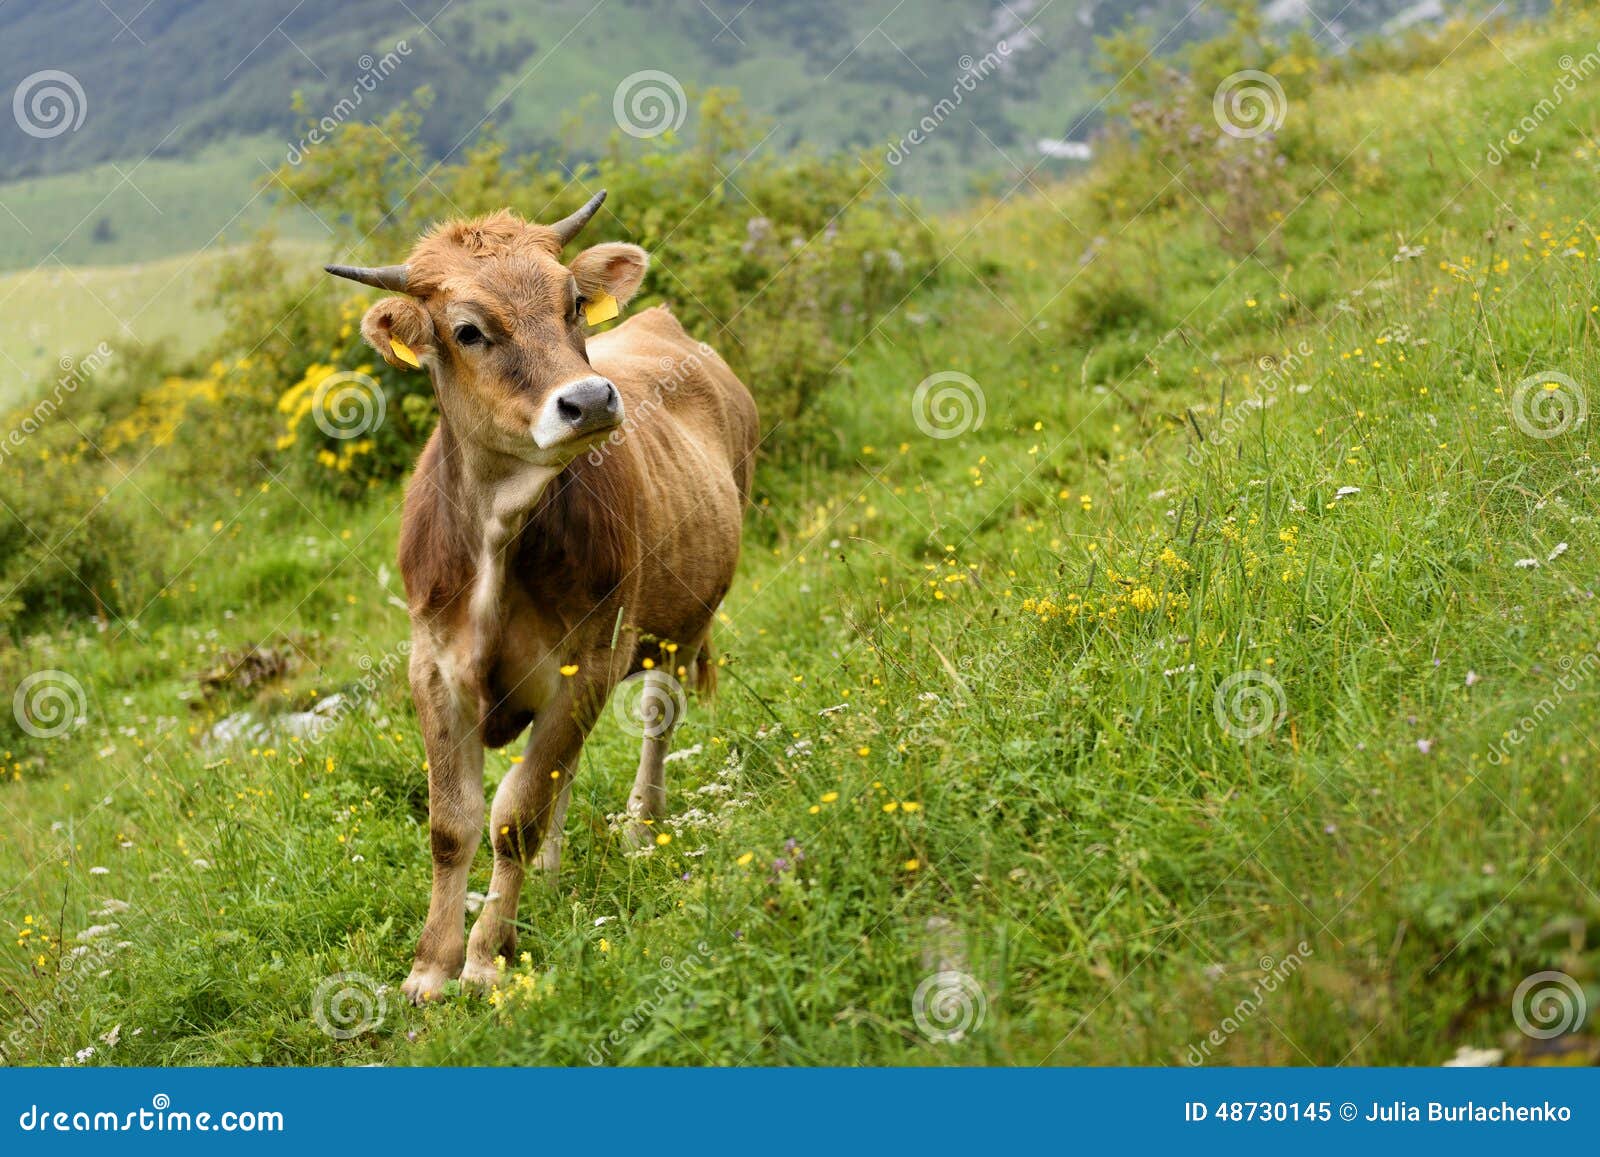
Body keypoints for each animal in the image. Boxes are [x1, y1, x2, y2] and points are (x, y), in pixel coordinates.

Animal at [325, 190, 758, 1002]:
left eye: (572, 305)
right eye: (468, 330)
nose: (588, 400)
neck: (497, 537)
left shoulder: (589, 659)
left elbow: (514, 815)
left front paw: (485, 957)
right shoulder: (432, 669)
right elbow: (455, 824)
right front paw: (429, 966)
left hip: (681, 623)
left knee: (654, 719)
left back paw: (640, 829)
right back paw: (555, 876)